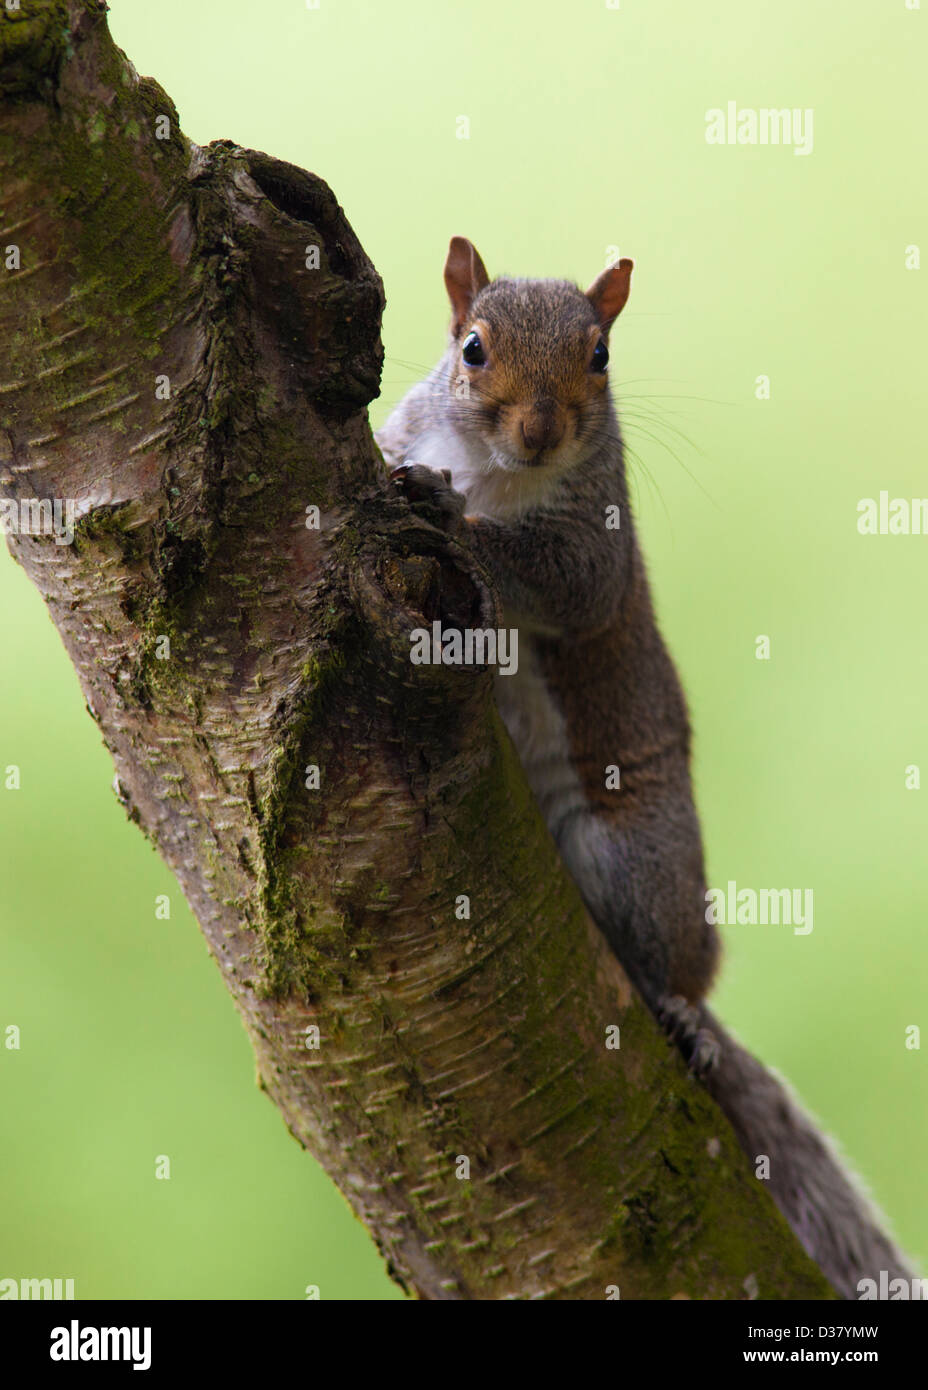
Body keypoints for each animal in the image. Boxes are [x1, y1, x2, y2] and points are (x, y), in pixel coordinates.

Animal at [375, 237, 915, 1300]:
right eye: (472, 348)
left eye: (600, 357)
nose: (540, 430)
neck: (498, 472)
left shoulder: (599, 537)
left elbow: (566, 581)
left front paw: (455, 518)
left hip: (633, 864)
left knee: (685, 965)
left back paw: (686, 1015)